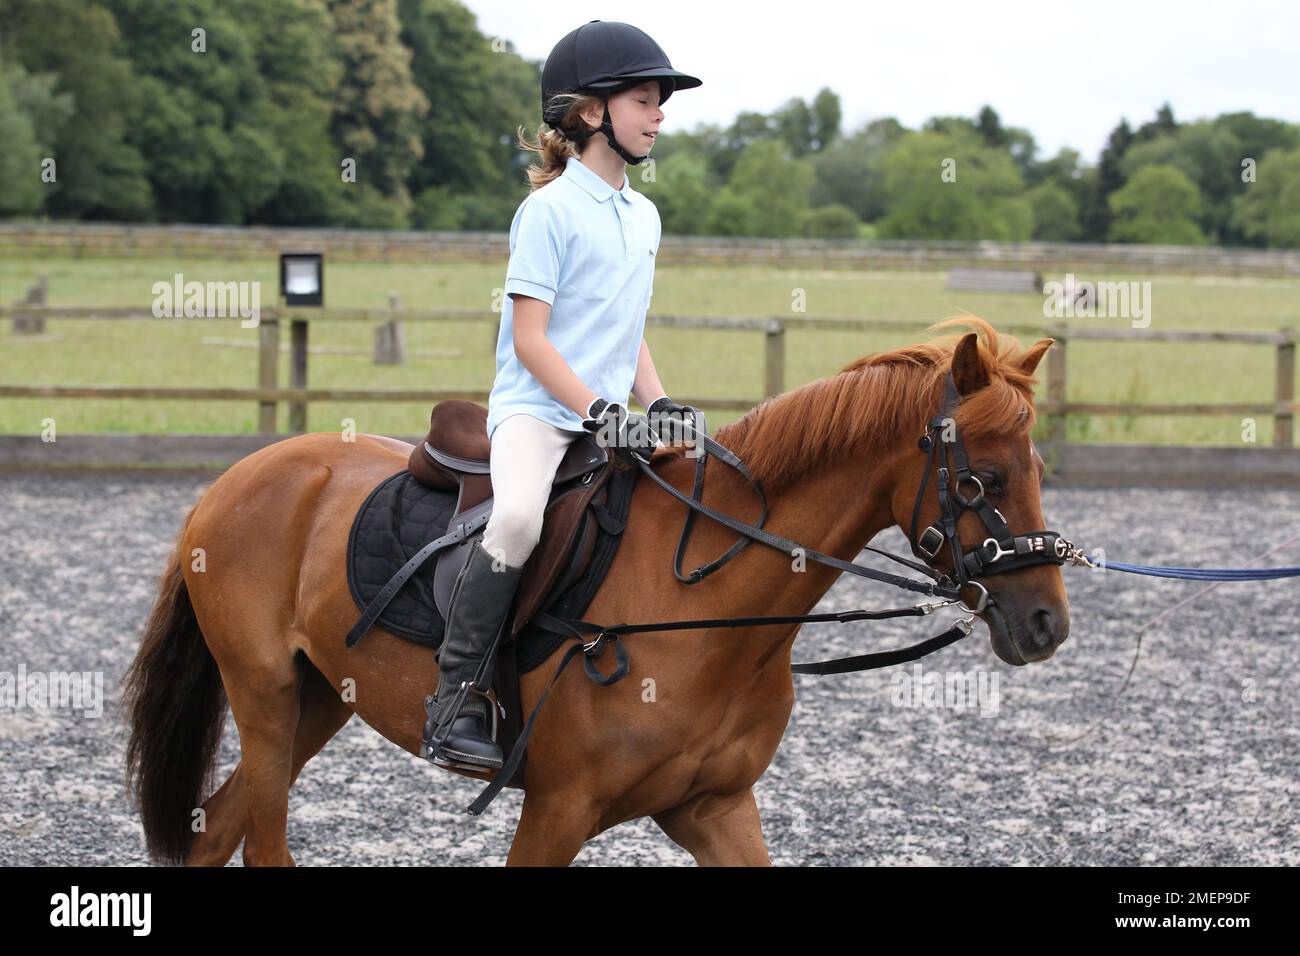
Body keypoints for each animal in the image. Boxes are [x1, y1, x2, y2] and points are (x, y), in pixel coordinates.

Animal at [123, 316, 1070, 866]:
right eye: (981, 480)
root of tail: (237, 478)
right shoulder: (557, 808)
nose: (1046, 624)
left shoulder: (714, 808)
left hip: (320, 696)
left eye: (1038, 468)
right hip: (266, 695)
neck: (714, 616)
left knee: (219, 828)